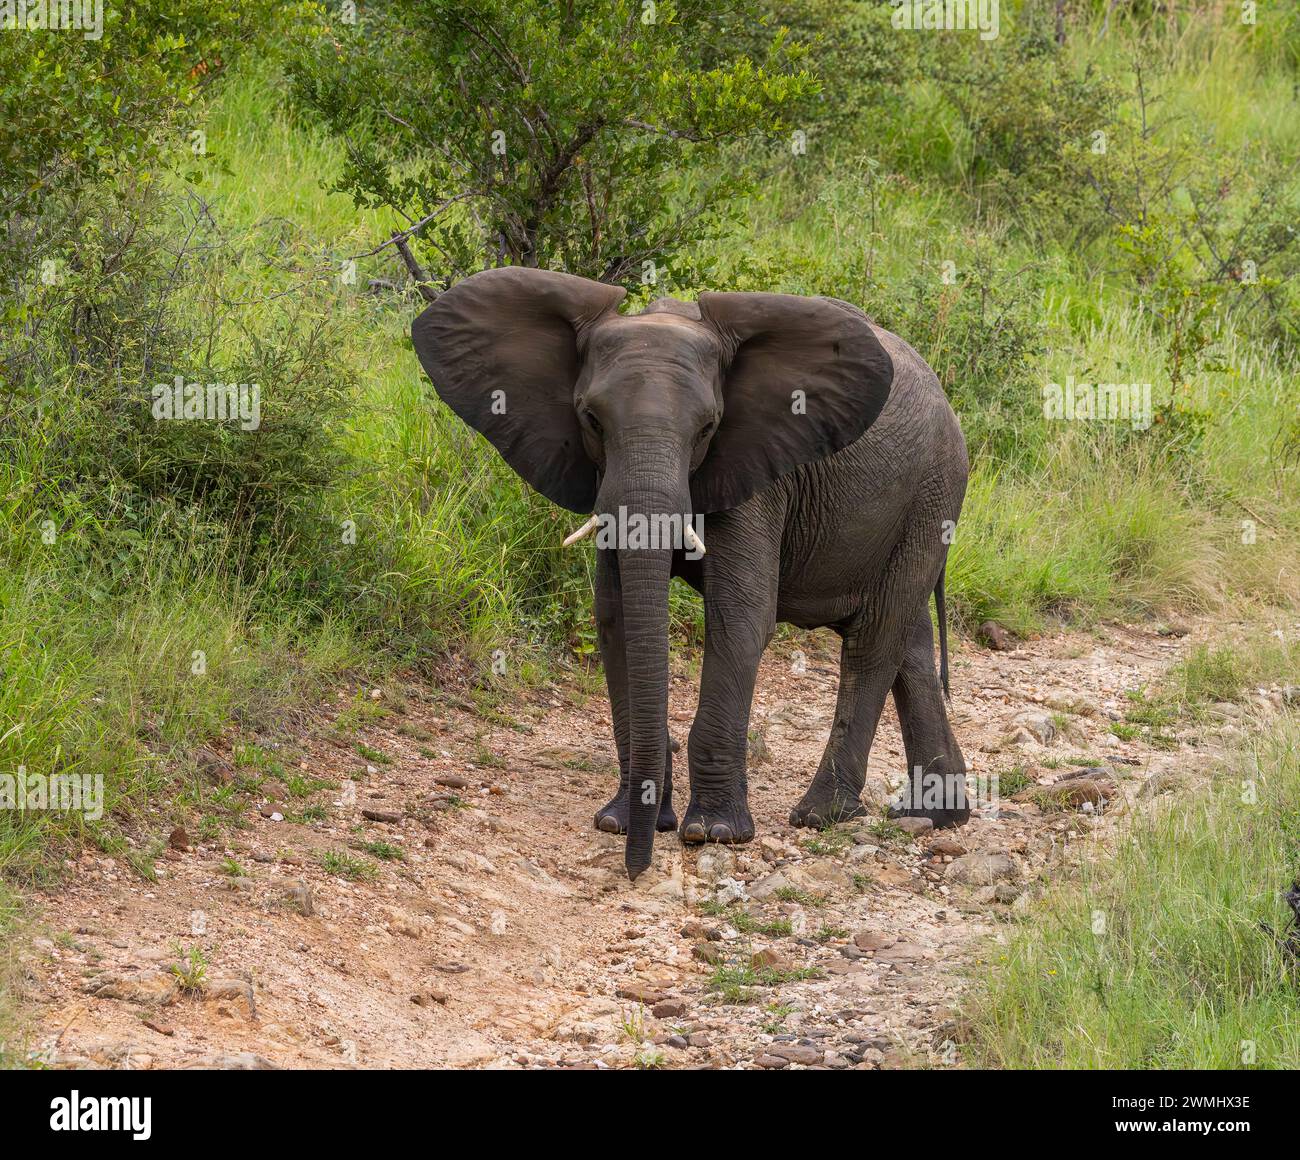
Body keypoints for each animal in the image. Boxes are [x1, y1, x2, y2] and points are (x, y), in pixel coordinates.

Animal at [412, 266, 970, 881]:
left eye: (708, 428)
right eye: (590, 420)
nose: (636, 870)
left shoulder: (759, 471)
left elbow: (739, 618)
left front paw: (713, 833)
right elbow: (615, 617)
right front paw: (621, 821)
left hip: (933, 494)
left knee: (875, 640)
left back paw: (822, 814)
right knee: (910, 644)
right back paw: (937, 815)